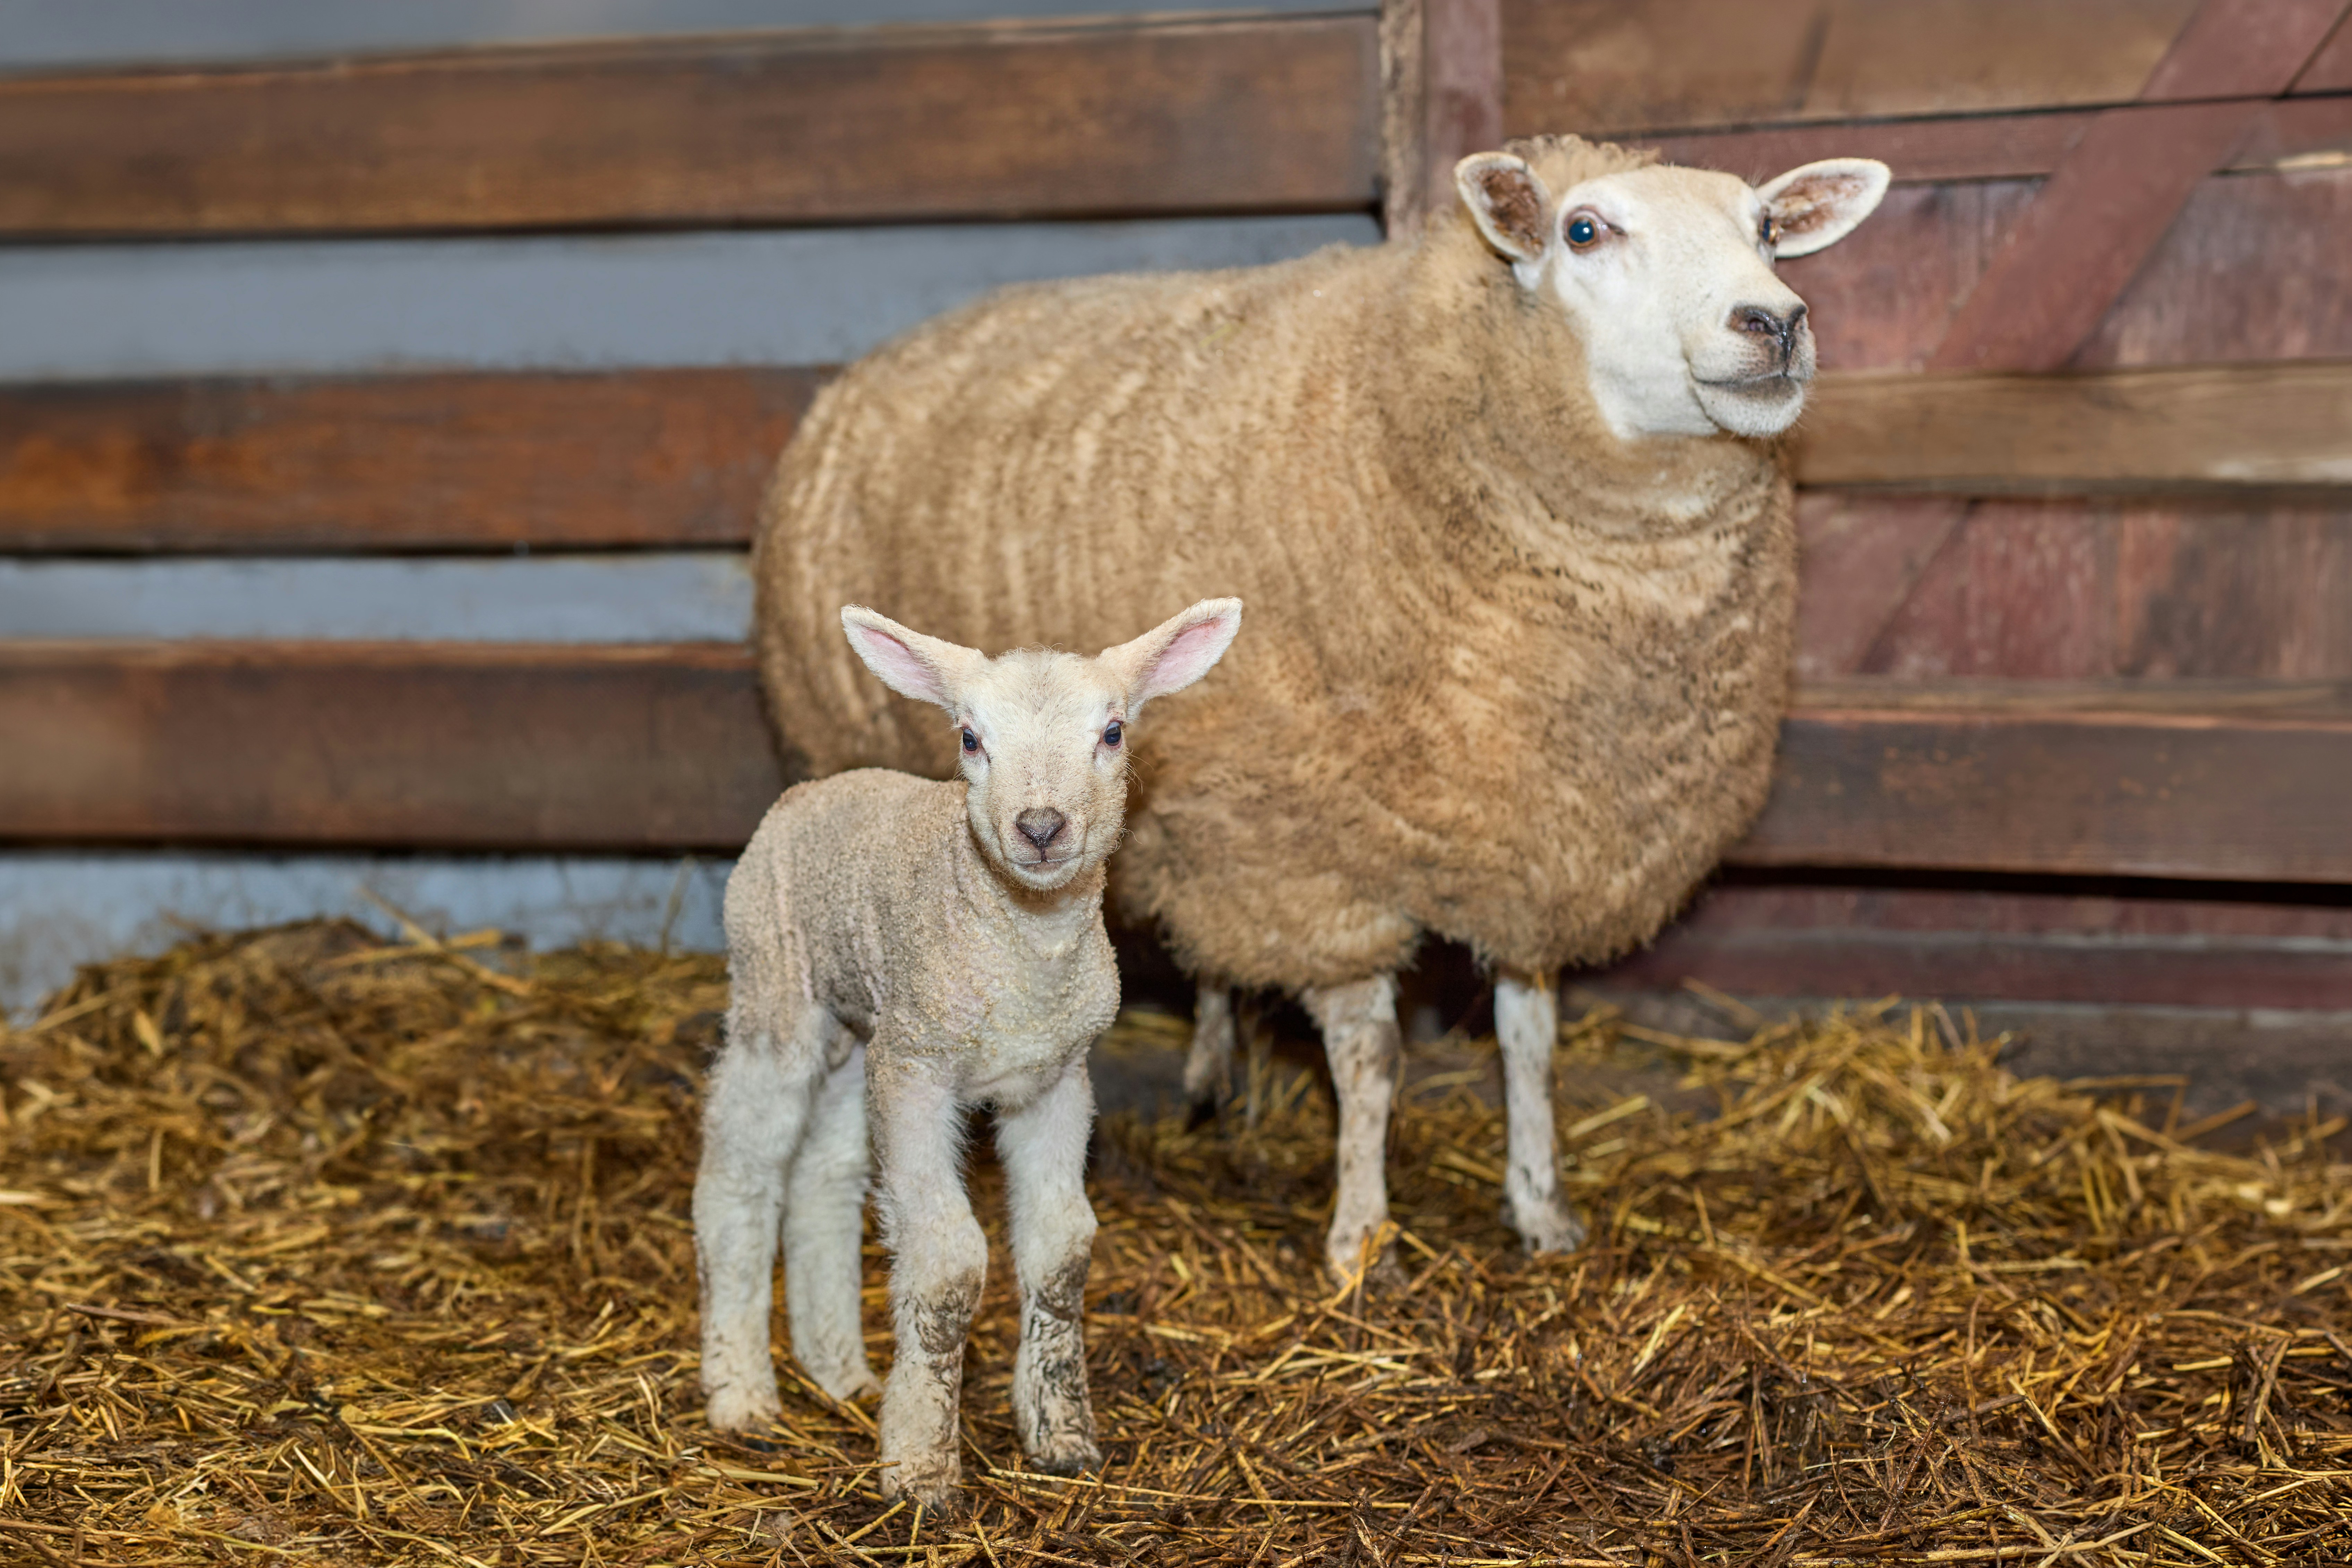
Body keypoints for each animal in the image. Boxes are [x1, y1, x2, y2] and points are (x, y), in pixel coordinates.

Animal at [694, 596, 1244, 1509]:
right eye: (970, 738)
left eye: (1113, 731)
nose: (1041, 826)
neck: (1025, 947)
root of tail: (817, 787)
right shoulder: (918, 1071)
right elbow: (949, 1265)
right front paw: (920, 1464)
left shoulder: (1057, 1078)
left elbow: (1062, 1249)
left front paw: (1061, 1434)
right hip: (777, 986)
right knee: (740, 1176)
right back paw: (741, 1392)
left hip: (862, 1031)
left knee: (824, 1180)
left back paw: (840, 1370)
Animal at [750, 134, 1889, 1282]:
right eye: (1582, 229)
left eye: (1766, 229)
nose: (1773, 322)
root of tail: (870, 365)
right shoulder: (1311, 860)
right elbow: (1371, 1057)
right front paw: (1359, 1240)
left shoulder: (1528, 837)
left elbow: (1528, 1040)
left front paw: (1540, 1210)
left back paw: (1214, 1071)